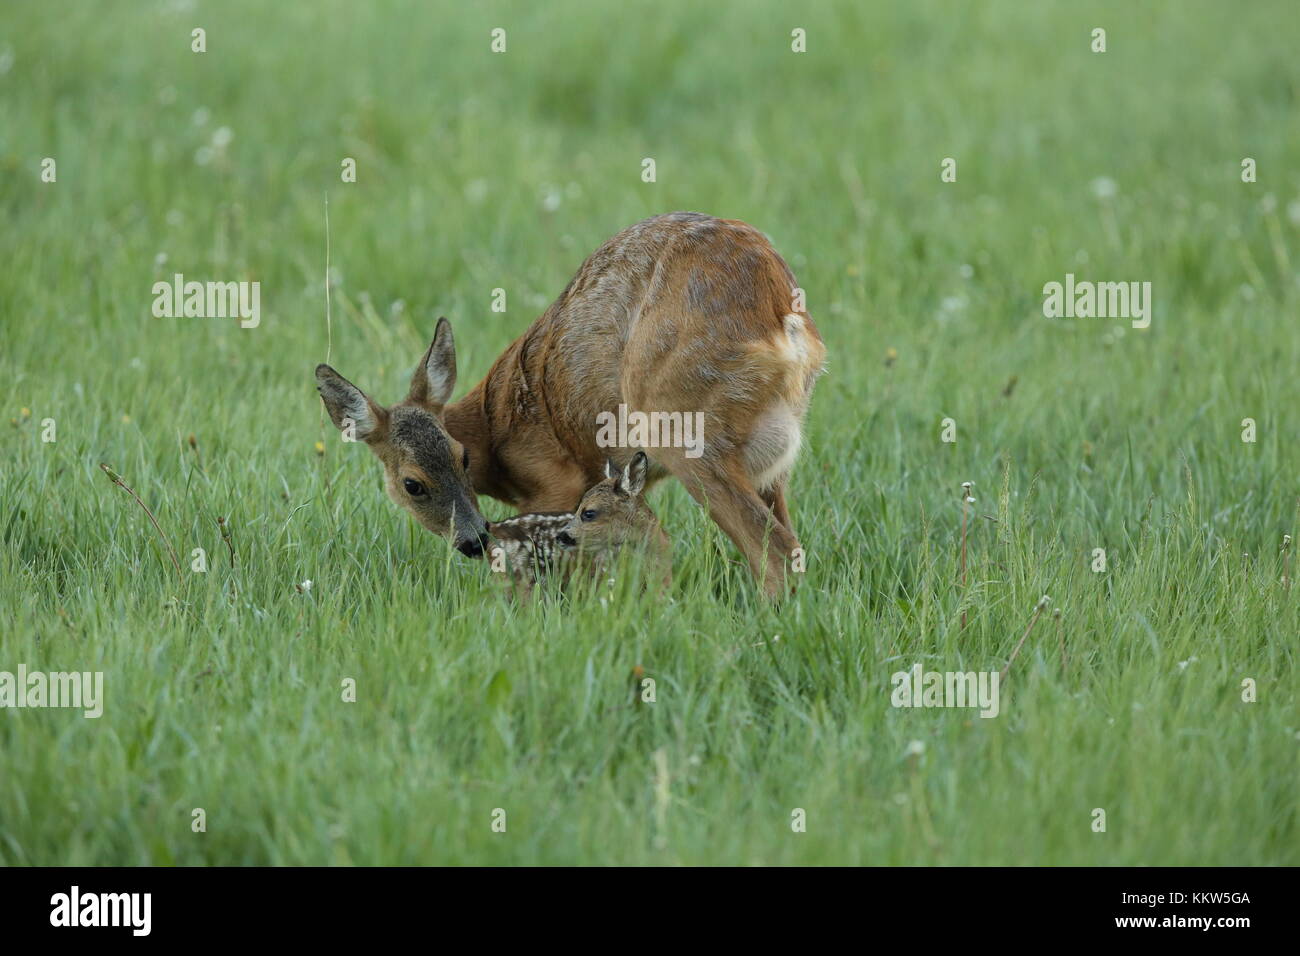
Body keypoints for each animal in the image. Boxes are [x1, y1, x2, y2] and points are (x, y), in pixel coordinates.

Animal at [315, 211, 826, 598]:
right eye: (414, 484)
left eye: (462, 458)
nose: (475, 539)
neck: (495, 436)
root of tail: (779, 312)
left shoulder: (555, 483)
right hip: (772, 455)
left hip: (683, 426)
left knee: (775, 551)